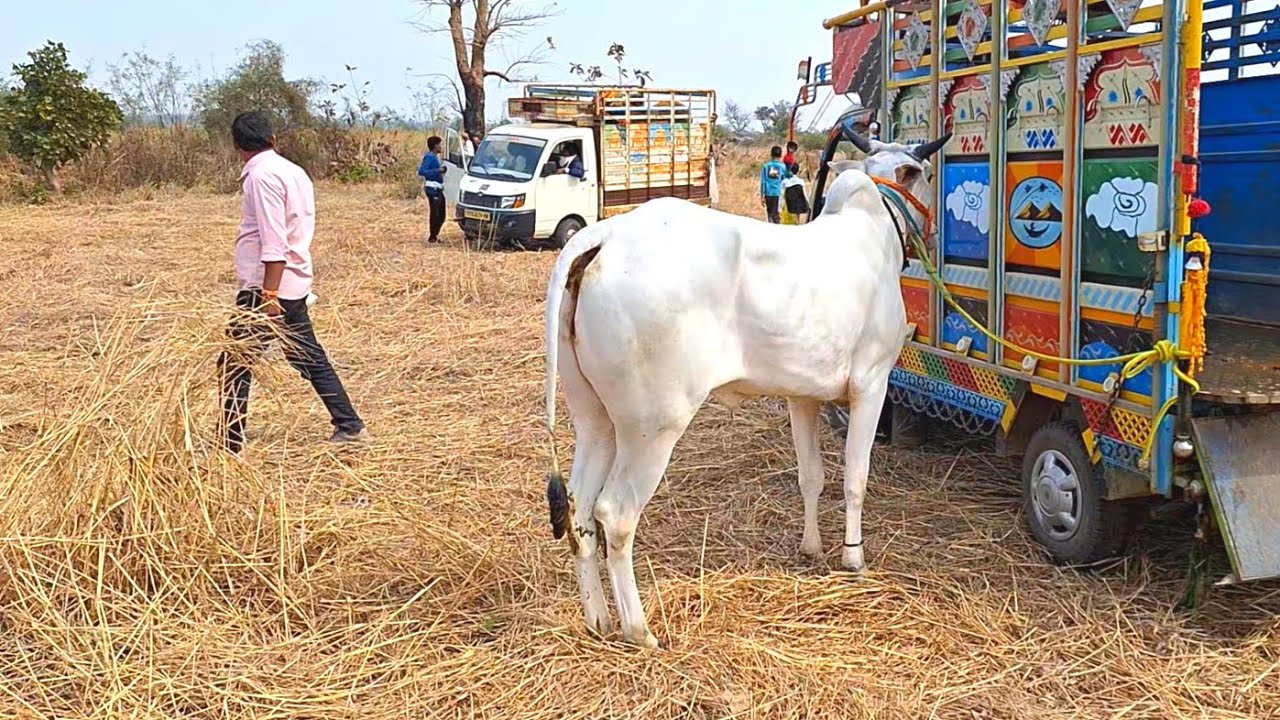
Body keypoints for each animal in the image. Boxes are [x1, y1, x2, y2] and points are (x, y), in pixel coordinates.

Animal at [541, 131, 951, 648]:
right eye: (929, 174)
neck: (873, 231)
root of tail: (605, 236)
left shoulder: (803, 396)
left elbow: (811, 476)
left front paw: (811, 547)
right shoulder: (871, 385)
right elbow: (855, 478)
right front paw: (853, 557)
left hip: (595, 420)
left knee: (578, 511)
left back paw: (597, 619)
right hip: (652, 428)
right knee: (615, 514)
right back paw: (639, 630)